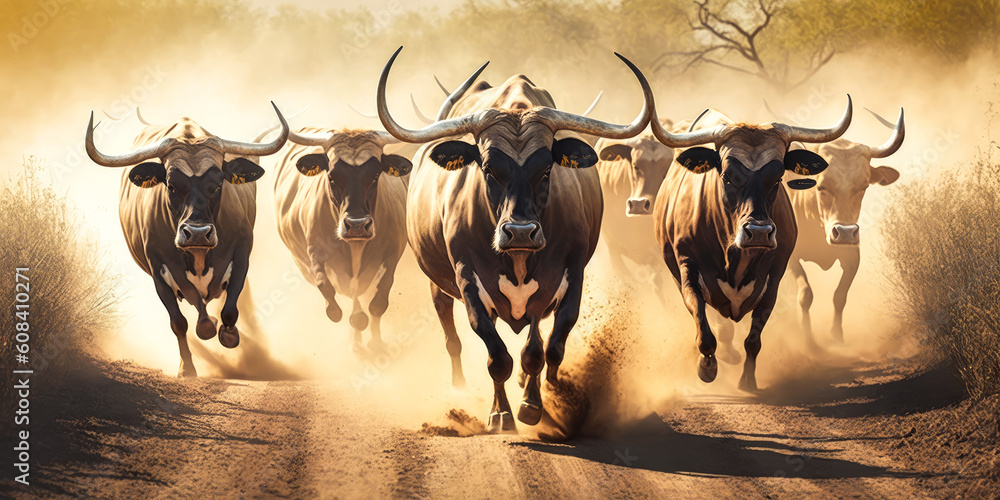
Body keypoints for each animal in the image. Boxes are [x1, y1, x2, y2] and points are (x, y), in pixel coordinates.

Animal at [85, 104, 289, 377]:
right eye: (171, 185)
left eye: (218, 184)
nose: (198, 232)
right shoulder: (158, 271)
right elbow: (180, 322)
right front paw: (188, 367)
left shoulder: (241, 256)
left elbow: (230, 308)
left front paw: (229, 335)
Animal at [272, 127, 412, 352]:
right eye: (331, 176)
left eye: (376, 174)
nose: (357, 224)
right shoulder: (315, 253)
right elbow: (327, 289)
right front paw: (346, 316)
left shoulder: (395, 248)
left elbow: (380, 296)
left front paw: (372, 333)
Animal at [376, 47, 653, 432]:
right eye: (488, 168)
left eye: (546, 169)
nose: (520, 231)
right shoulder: (468, 279)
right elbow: (497, 357)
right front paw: (501, 414)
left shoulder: (565, 279)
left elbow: (541, 351)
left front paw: (534, 405)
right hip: (439, 287)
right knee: (454, 338)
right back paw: (463, 388)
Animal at [648, 98, 853, 391]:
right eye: (727, 176)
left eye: (778, 178)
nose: (758, 232)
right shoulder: (687, 266)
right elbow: (702, 322)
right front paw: (707, 366)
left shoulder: (775, 276)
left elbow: (754, 338)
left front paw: (747, 380)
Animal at [786, 108, 905, 343]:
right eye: (821, 186)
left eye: (863, 186)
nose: (845, 233)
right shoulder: (789, 255)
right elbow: (805, 294)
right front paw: (808, 338)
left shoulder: (852, 255)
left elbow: (840, 295)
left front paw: (836, 336)